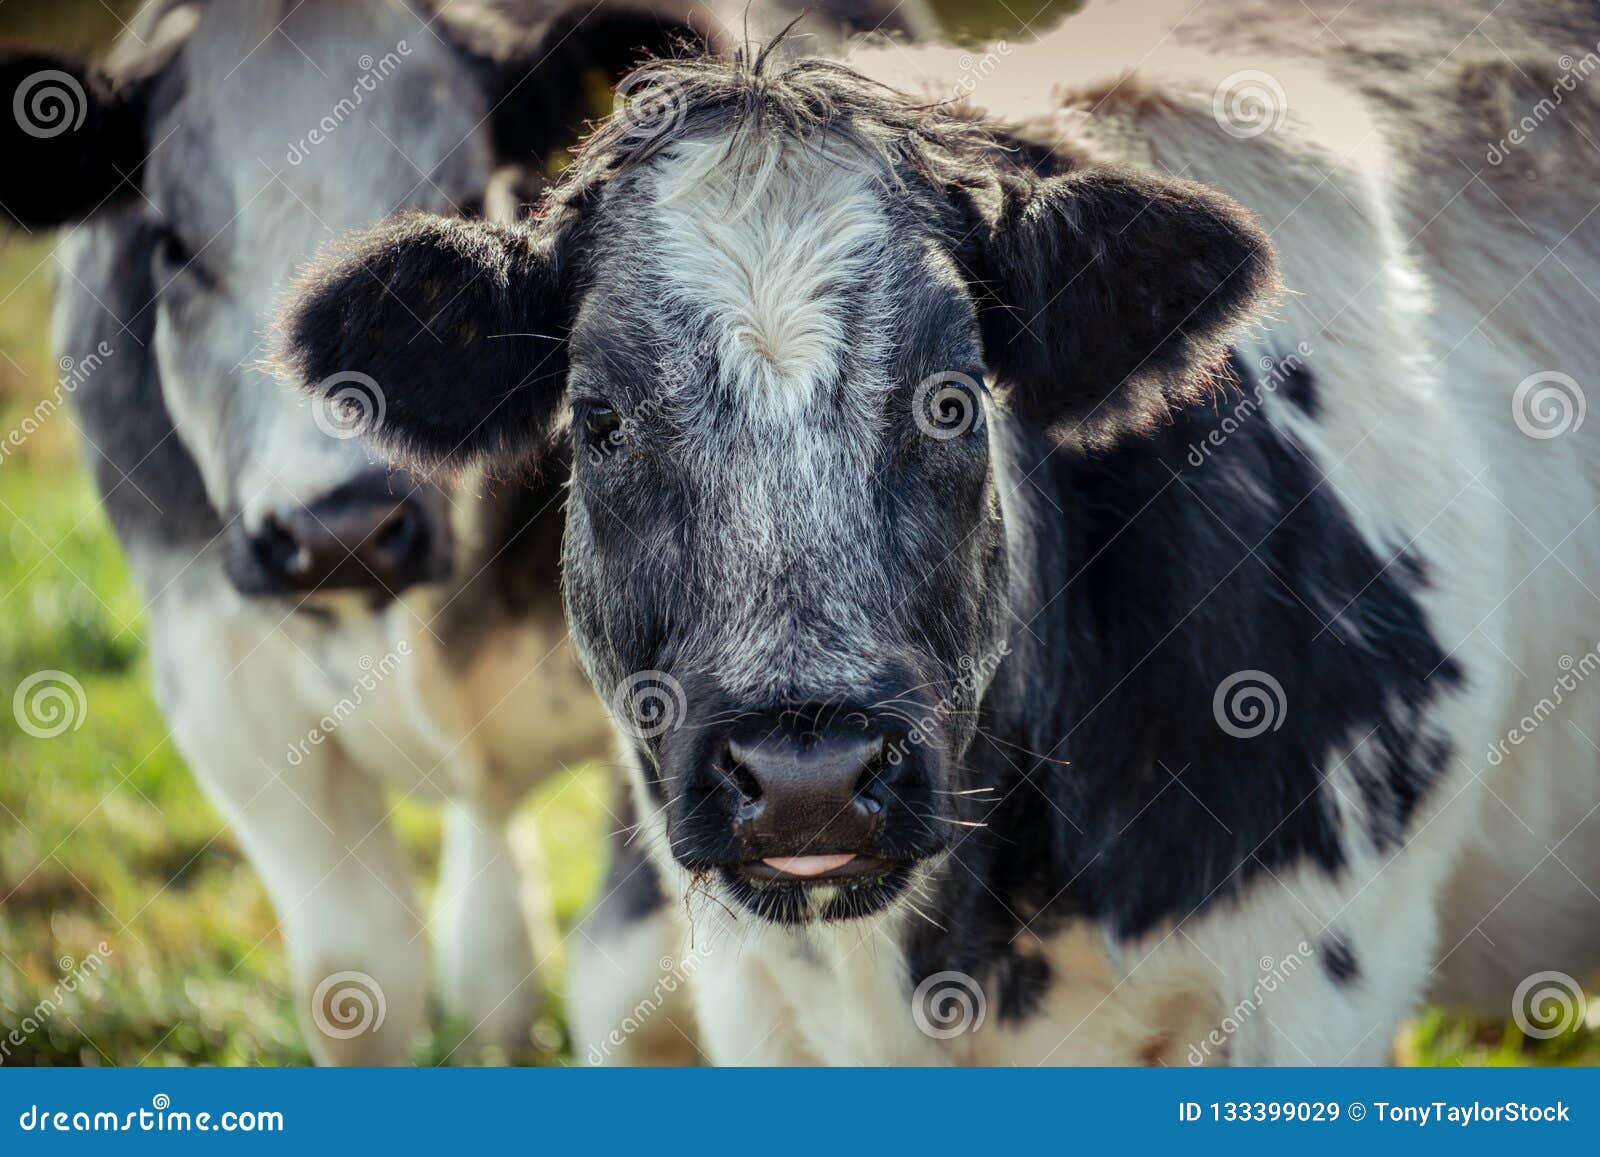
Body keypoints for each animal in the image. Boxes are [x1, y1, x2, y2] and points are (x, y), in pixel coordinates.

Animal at [1, 0, 935, 1064]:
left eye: (463, 203)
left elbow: (630, 990)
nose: (342, 528)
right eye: (168, 243)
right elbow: (357, 980)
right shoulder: (226, 691)